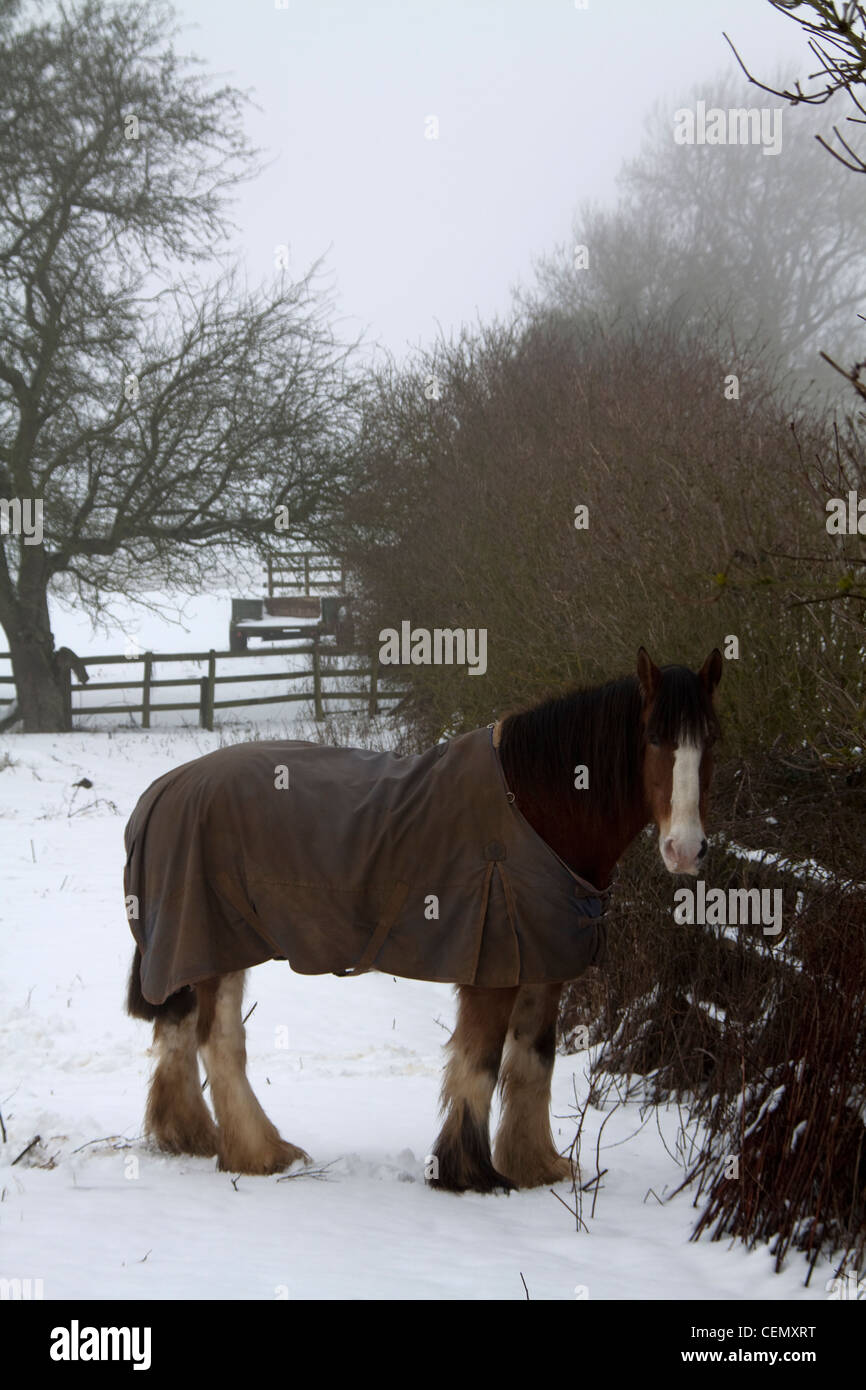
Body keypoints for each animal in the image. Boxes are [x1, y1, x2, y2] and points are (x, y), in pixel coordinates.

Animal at [124, 646, 722, 1193]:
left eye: (711, 740)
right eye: (653, 738)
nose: (686, 849)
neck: (531, 811)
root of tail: (163, 790)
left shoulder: (543, 965)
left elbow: (533, 1062)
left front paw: (534, 1166)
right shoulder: (493, 967)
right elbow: (480, 1063)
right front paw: (469, 1173)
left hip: (195, 951)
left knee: (176, 1031)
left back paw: (190, 1136)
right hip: (216, 947)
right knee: (219, 1042)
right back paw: (259, 1153)